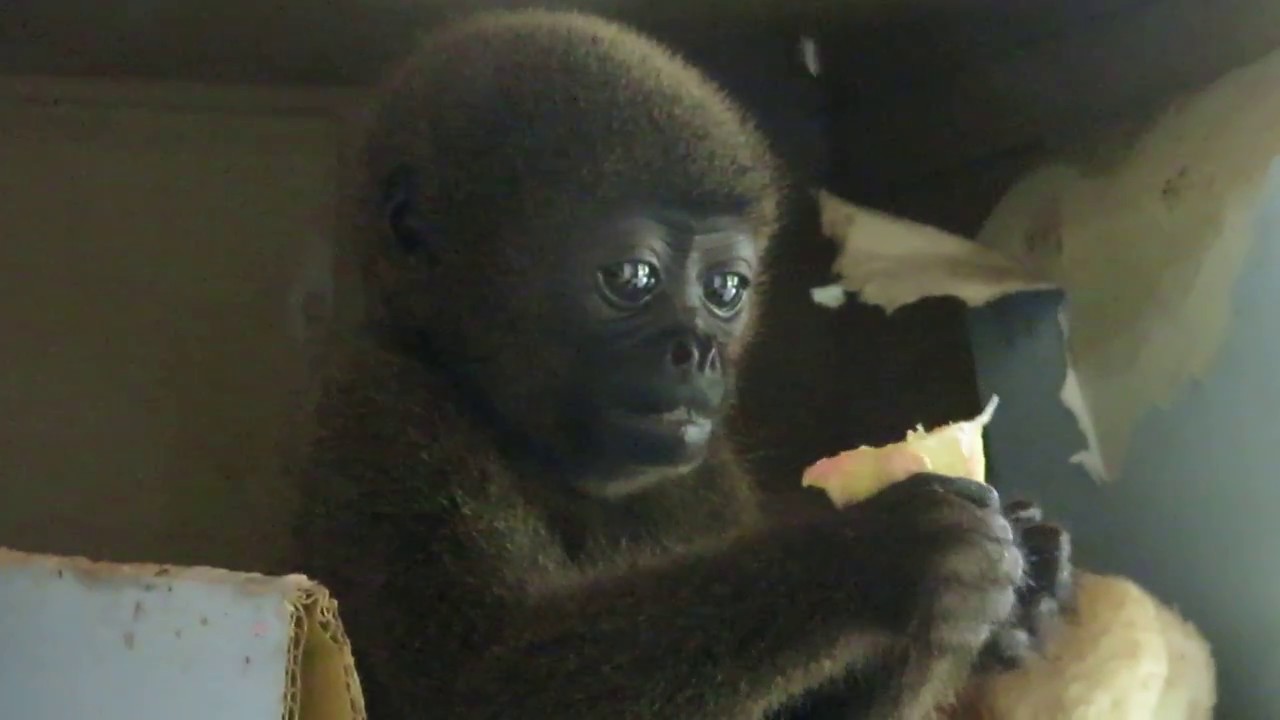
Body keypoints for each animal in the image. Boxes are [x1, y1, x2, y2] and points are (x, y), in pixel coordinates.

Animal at [292, 9, 1073, 719]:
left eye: (725, 290)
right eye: (631, 277)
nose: (698, 350)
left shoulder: (709, 471)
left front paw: (1021, 585)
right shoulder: (385, 412)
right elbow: (472, 686)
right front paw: (879, 557)